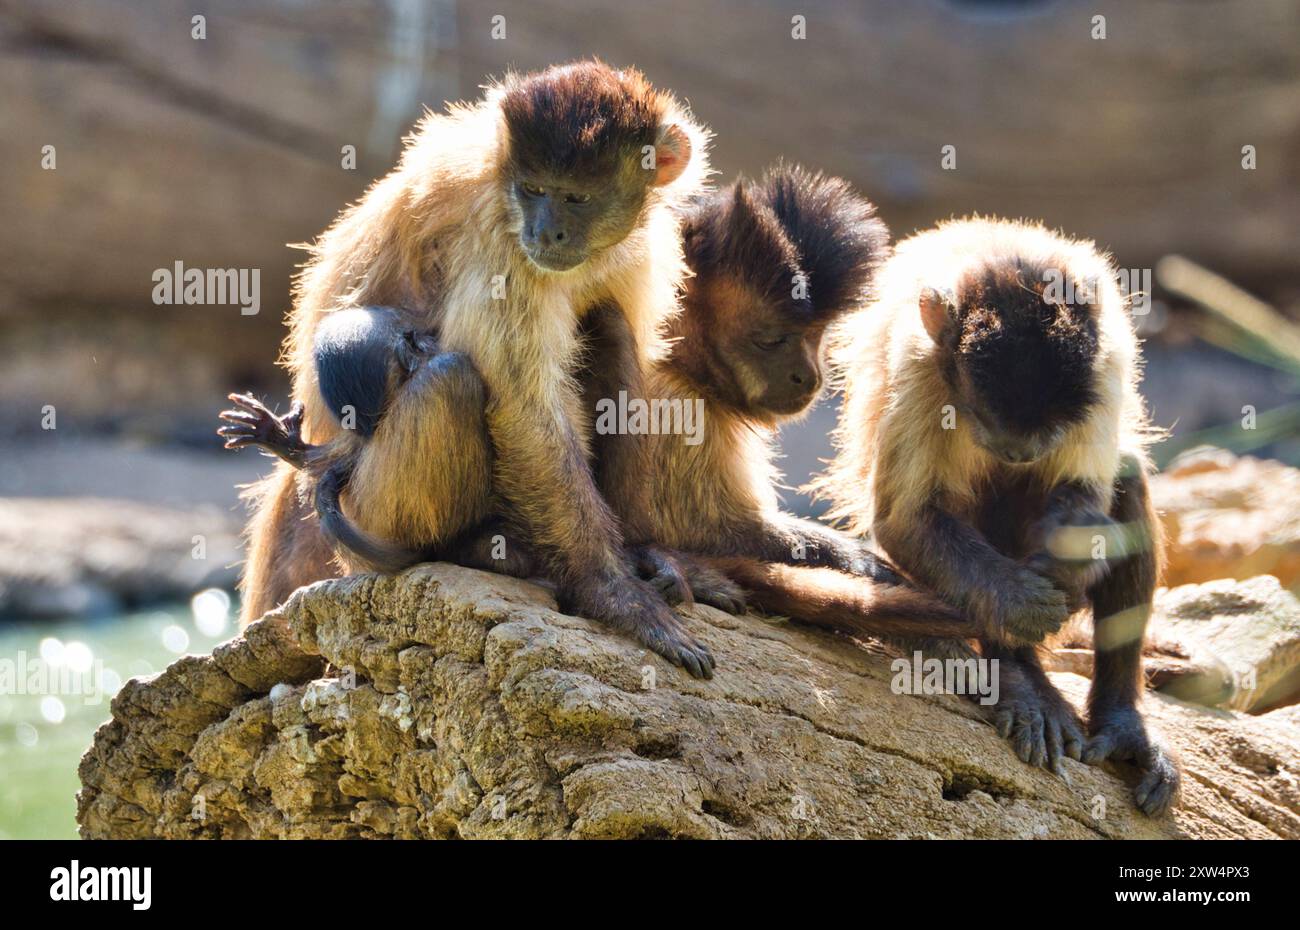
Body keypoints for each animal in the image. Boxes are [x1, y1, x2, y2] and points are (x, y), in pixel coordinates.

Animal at [235, 61, 718, 677]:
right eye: (533, 192)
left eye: (576, 198)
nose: (546, 231)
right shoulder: (501, 239)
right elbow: (525, 415)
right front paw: (615, 594)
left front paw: (644, 556)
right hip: (365, 510)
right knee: (451, 382)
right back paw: (465, 549)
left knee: (605, 326)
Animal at [811, 217, 1180, 815]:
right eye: (986, 415)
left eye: (1044, 430)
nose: (1018, 451)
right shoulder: (920, 363)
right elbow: (908, 519)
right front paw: (1020, 608)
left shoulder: (1106, 362)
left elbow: (1087, 497)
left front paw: (1067, 562)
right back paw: (1016, 675)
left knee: (1125, 479)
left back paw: (1120, 722)